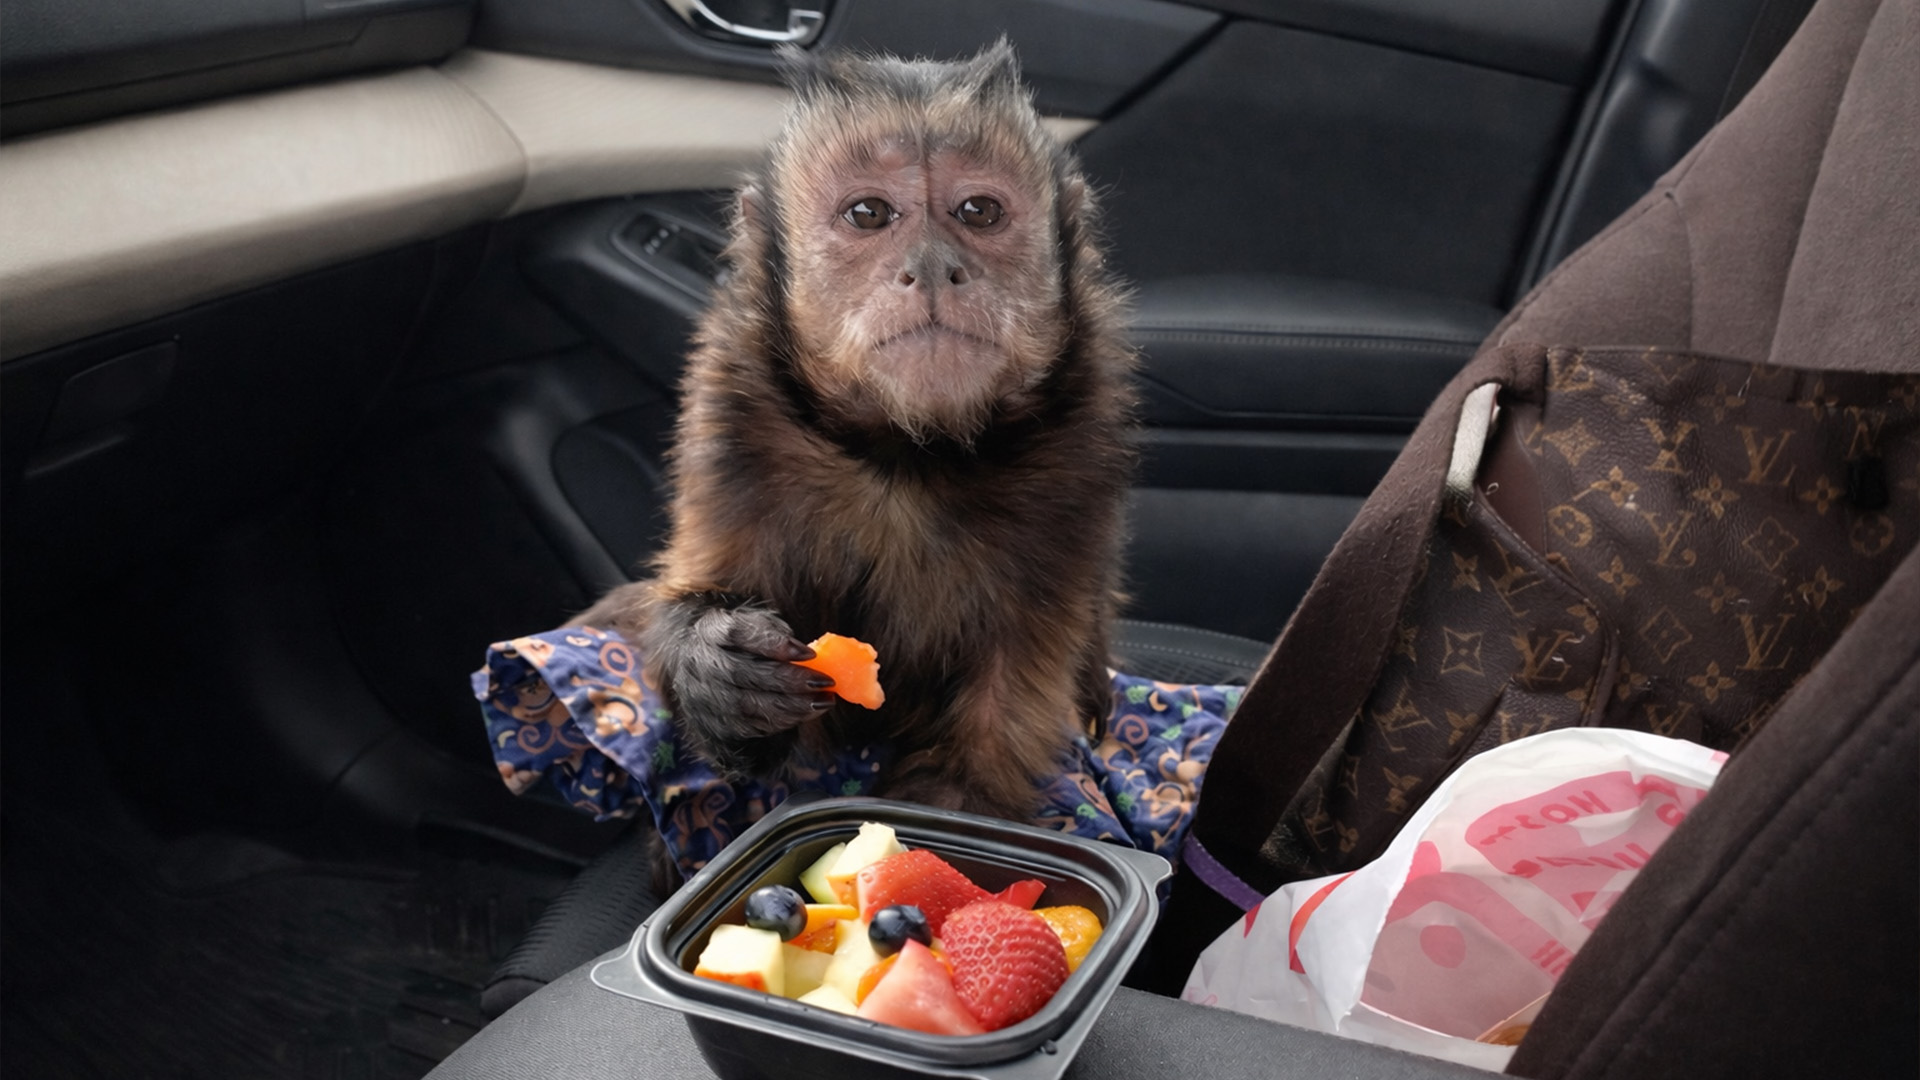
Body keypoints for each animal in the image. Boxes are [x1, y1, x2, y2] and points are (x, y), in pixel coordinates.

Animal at [577, 40, 1136, 834]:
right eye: (869, 213)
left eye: (980, 211)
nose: (933, 265)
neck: (909, 454)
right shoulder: (730, 426)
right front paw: (714, 668)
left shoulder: (1079, 466)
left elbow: (981, 761)